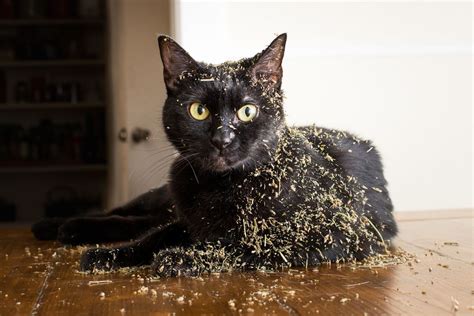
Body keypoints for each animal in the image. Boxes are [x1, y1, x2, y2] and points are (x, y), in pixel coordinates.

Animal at [31, 35, 398, 276]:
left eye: (248, 111)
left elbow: (242, 244)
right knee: (129, 214)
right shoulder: (190, 220)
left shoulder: (334, 233)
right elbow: (154, 238)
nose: (223, 138)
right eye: (198, 110)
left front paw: (181, 258)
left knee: (144, 221)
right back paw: (56, 225)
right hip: (163, 195)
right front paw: (111, 256)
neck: (222, 188)